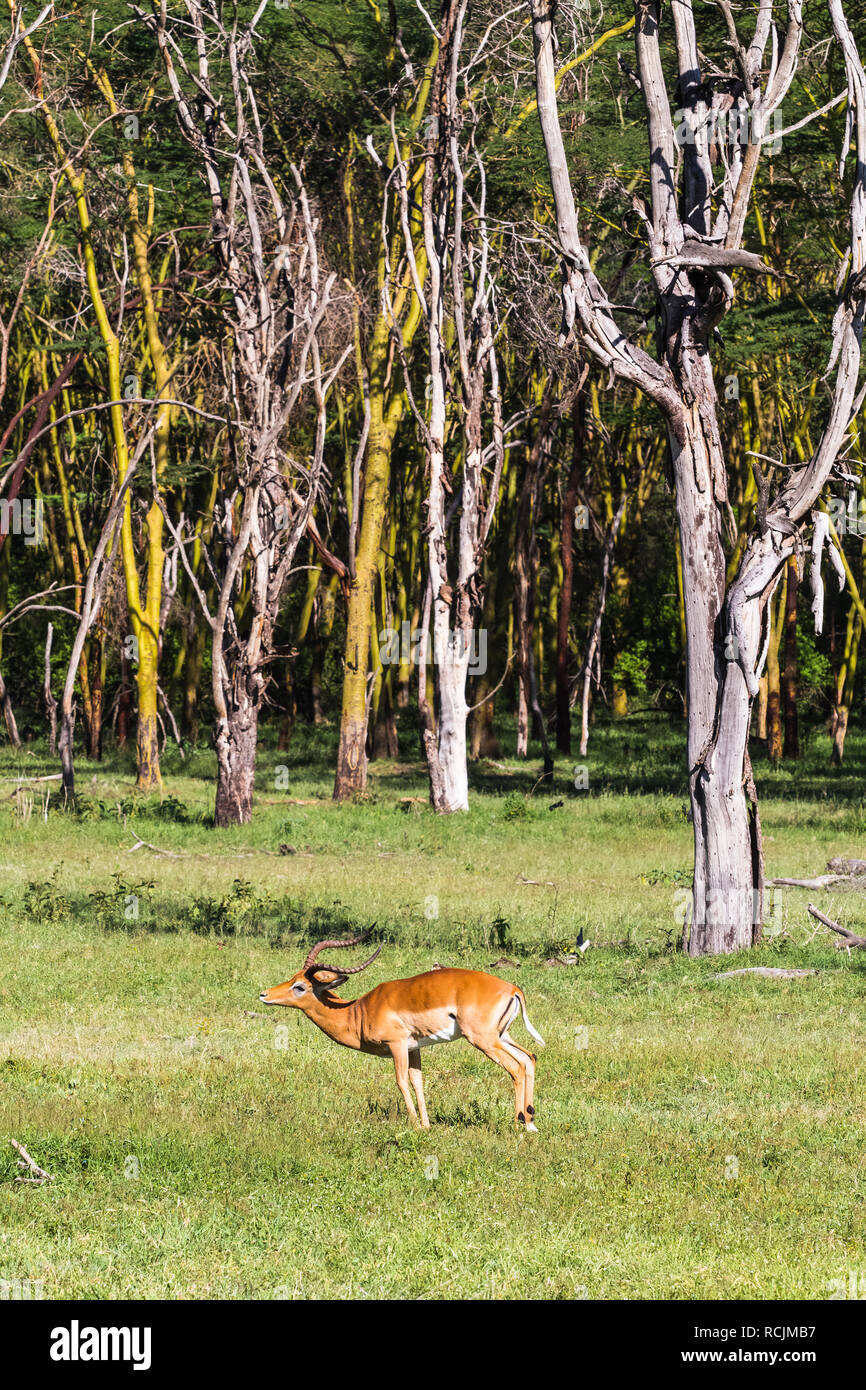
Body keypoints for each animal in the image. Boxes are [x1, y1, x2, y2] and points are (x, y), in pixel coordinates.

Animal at [260, 932, 545, 1130]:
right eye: (293, 977)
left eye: (300, 986)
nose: (264, 994)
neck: (357, 1011)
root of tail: (512, 989)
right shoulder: (414, 1048)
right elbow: (418, 1082)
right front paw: (426, 1125)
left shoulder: (396, 1045)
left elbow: (401, 1082)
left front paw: (415, 1126)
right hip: (501, 1037)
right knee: (529, 1058)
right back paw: (530, 1122)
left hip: (483, 1040)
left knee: (516, 1067)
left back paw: (518, 1124)